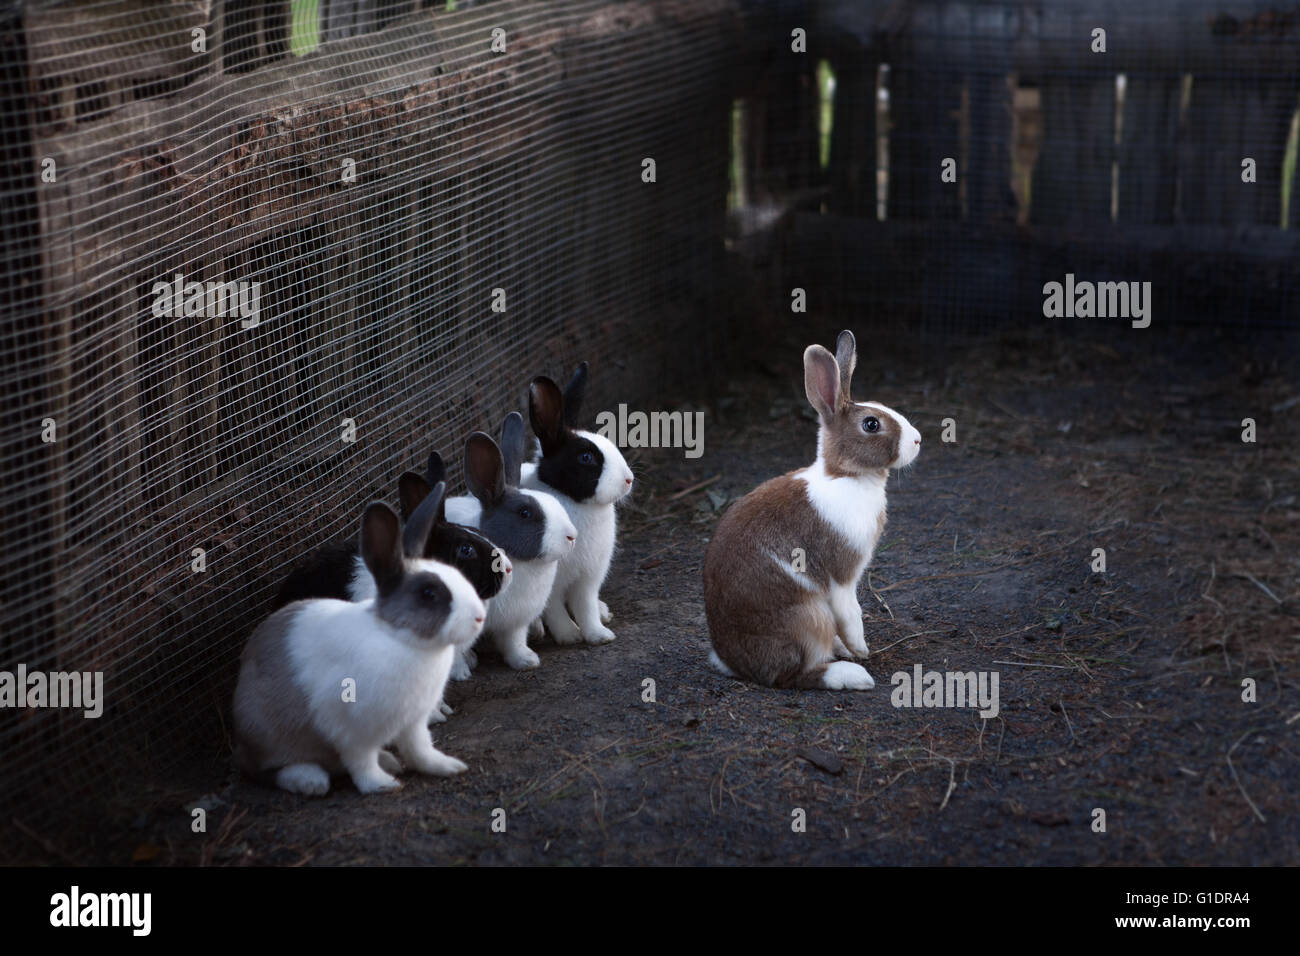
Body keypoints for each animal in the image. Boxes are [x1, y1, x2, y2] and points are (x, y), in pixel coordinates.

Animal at [233, 493, 486, 796]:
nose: (479, 616)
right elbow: (360, 761)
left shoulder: (413, 722)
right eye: (428, 593)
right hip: (266, 730)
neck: (404, 641)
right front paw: (381, 785)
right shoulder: (350, 730)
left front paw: (446, 766)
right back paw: (310, 780)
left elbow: (419, 748)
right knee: (271, 767)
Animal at [443, 413, 576, 674]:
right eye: (525, 513)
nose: (571, 536)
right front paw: (460, 671)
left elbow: (514, 642)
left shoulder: (515, 622)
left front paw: (526, 661)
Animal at [520, 362, 633, 646]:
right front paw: (569, 636)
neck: (578, 504)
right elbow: (554, 609)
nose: (628, 479)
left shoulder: (589, 579)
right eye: (585, 457)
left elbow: (586, 606)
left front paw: (599, 635)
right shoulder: (551, 582)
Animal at [701, 330, 921, 691]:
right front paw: (862, 649)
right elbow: (851, 613)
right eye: (871, 424)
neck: (846, 476)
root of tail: (738, 664)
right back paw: (853, 675)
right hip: (808, 618)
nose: (916, 440)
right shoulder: (843, 577)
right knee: (794, 674)